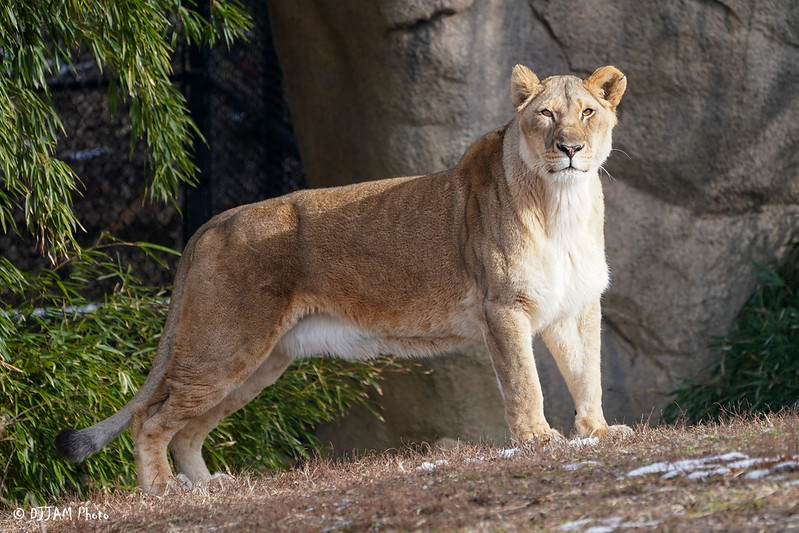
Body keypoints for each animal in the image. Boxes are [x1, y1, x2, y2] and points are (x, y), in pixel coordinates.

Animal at [56, 64, 631, 493]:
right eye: (545, 115)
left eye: (588, 112)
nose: (571, 148)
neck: (563, 205)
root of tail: (211, 224)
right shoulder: (504, 306)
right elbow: (523, 380)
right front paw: (538, 439)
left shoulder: (576, 306)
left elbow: (587, 372)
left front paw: (598, 432)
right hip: (224, 344)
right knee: (150, 419)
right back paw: (162, 491)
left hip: (260, 361)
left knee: (187, 430)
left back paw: (210, 485)